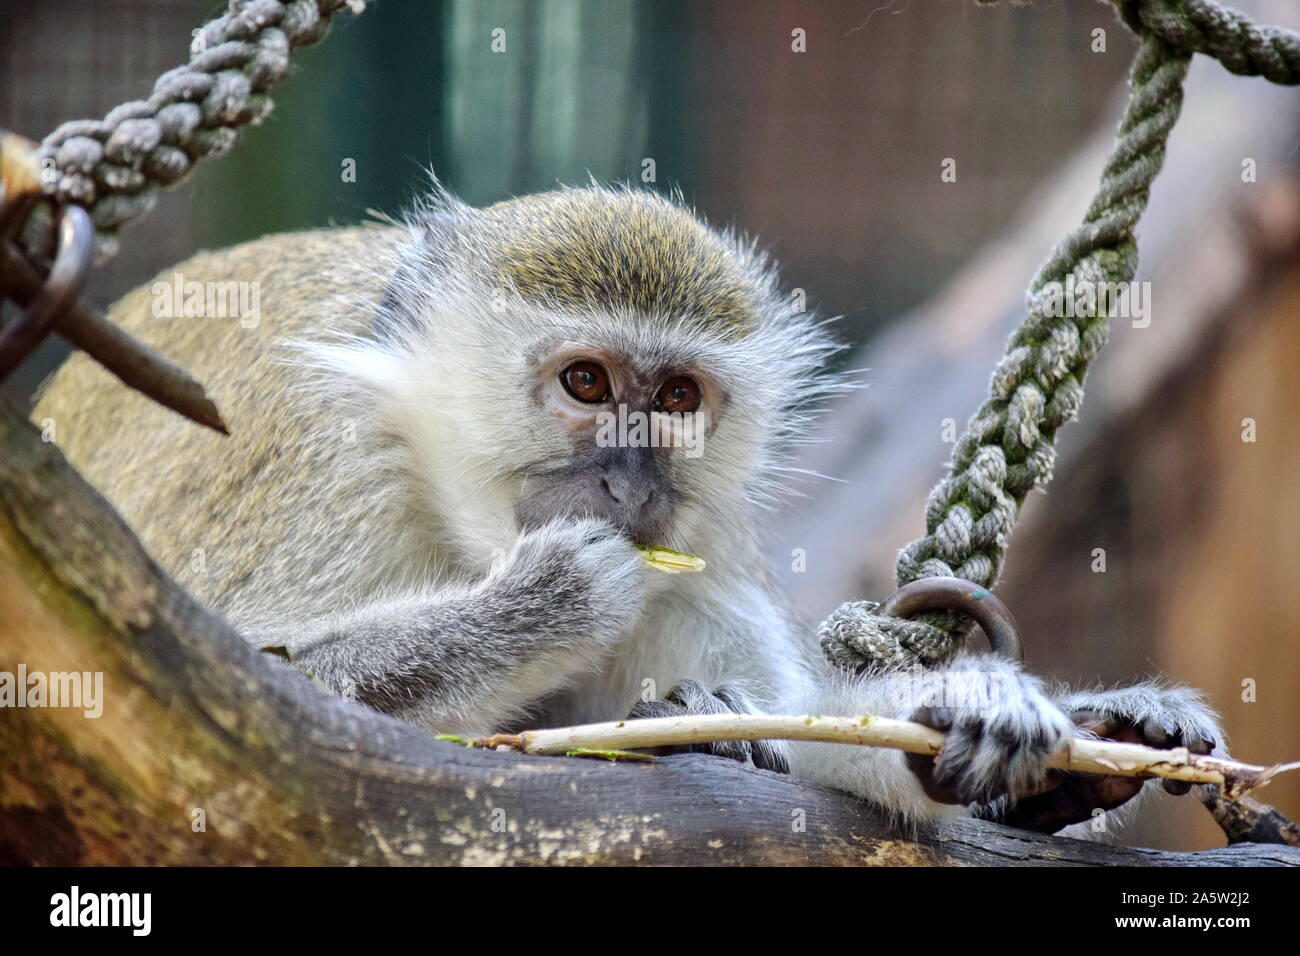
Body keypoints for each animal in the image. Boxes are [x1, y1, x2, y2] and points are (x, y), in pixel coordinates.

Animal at [33, 183, 1223, 836]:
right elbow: (229, 709)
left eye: (679, 399)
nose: (631, 484)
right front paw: (545, 600)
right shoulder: (321, 458)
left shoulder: (699, 548)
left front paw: (992, 718)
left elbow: (786, 746)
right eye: (587, 383)